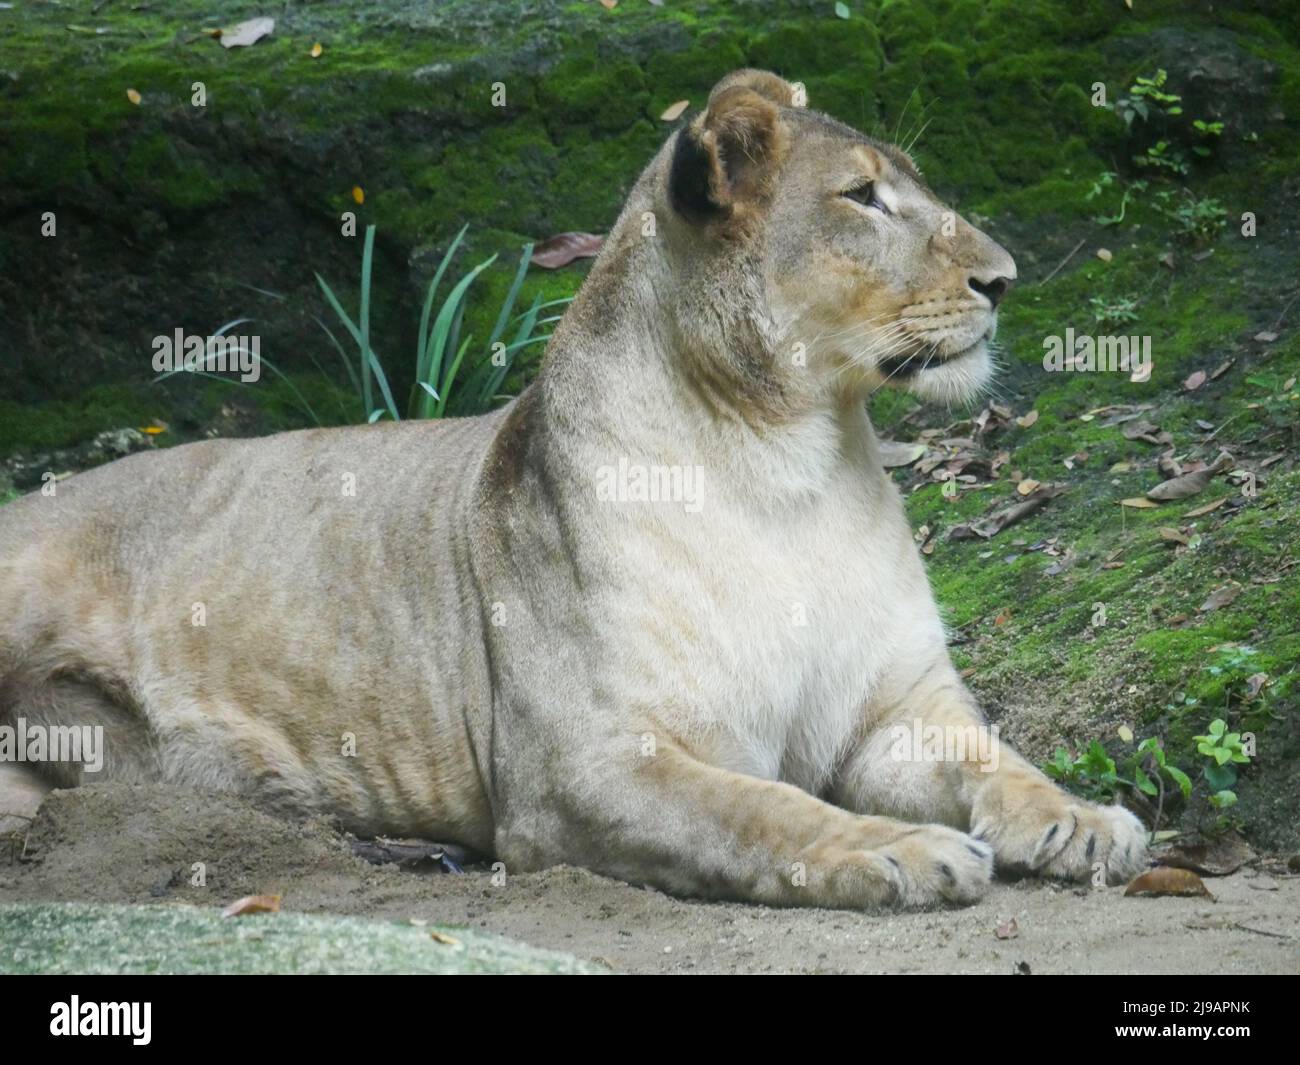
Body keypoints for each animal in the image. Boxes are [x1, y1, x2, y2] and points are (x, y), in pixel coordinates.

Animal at [0, 70, 1147, 907]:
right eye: (862, 197)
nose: (1004, 279)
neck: (795, 464)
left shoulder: (897, 704)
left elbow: (997, 760)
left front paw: (1085, 821)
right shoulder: (580, 770)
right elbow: (763, 813)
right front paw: (901, 850)